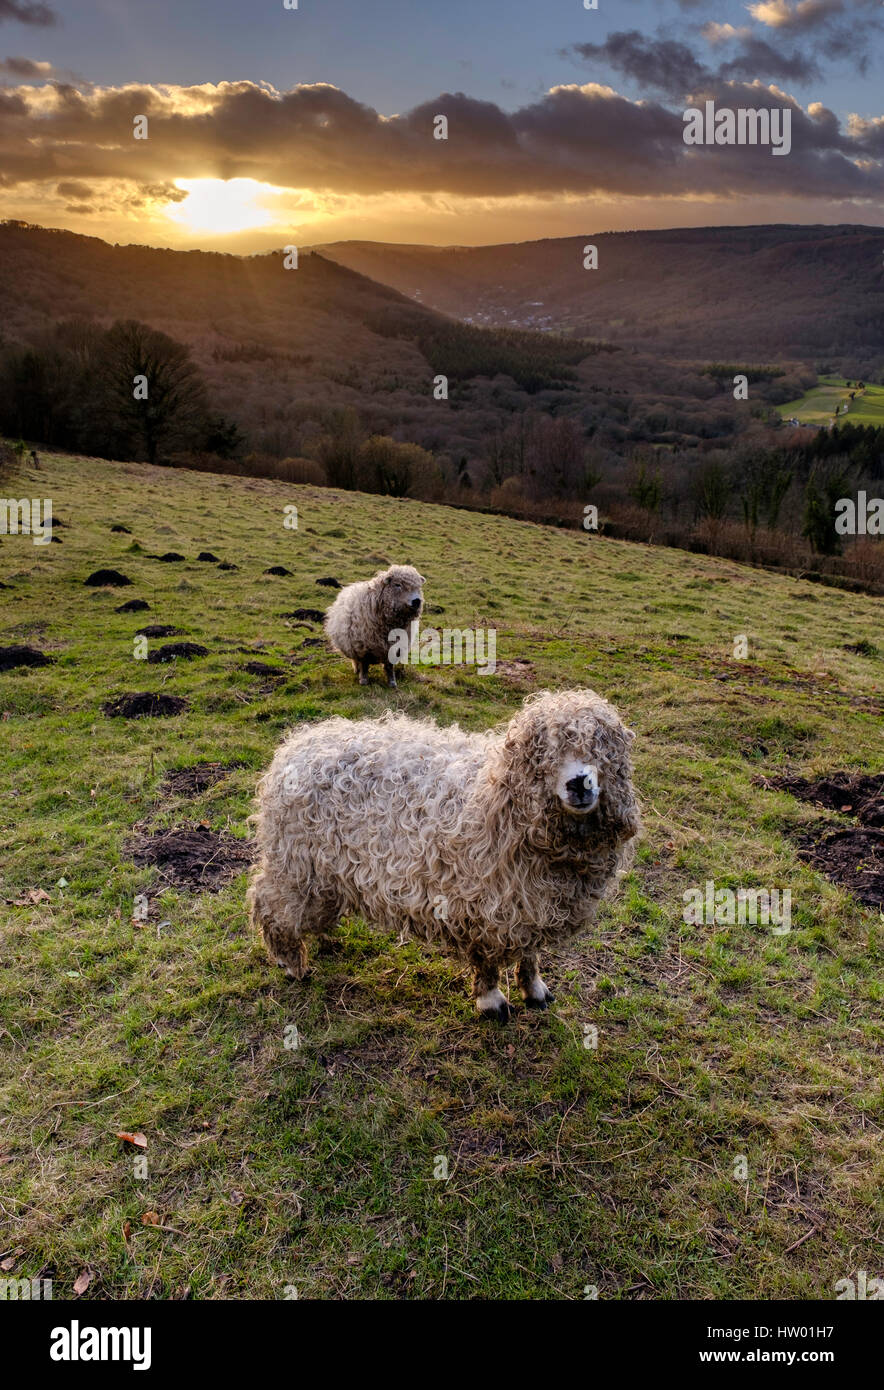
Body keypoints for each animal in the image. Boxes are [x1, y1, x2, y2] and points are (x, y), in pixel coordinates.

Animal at [247, 688, 640, 1020]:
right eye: (543, 754)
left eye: (603, 747)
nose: (580, 783)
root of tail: (298, 744)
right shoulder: (480, 905)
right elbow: (485, 960)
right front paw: (492, 1002)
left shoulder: (528, 904)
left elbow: (529, 952)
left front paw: (535, 991)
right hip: (297, 865)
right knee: (269, 901)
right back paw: (291, 963)